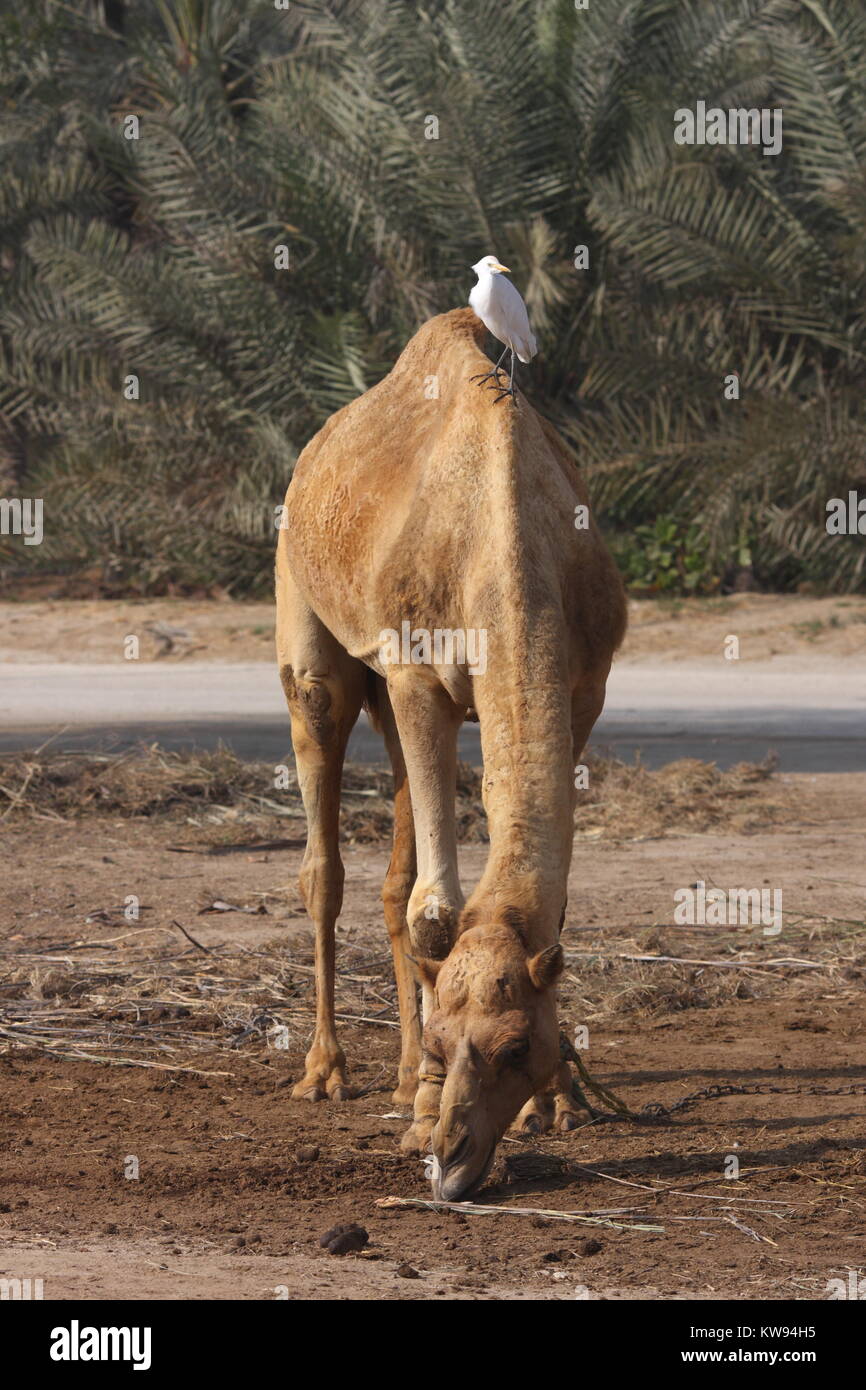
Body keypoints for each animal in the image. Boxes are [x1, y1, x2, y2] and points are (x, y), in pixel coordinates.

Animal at [275, 307, 626, 1201]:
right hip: (312, 633)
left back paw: (396, 1082)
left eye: (517, 1045)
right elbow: (435, 911)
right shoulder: (416, 675)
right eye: (448, 1040)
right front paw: (424, 1107)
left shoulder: (584, 687)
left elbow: (540, 918)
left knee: (393, 865)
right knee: (324, 859)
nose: (456, 1159)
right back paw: (328, 1072)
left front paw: (558, 1105)